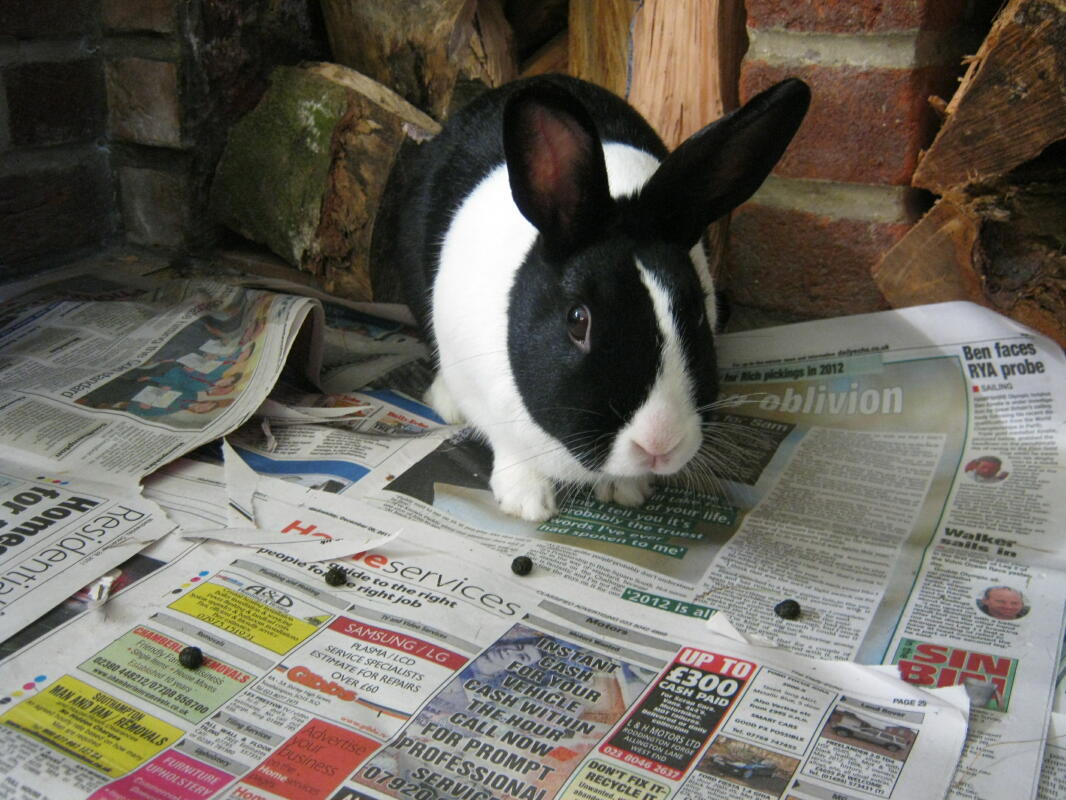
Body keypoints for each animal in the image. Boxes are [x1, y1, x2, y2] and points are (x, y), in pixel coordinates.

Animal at [387, 74, 810, 521]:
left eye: (696, 310)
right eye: (578, 320)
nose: (659, 444)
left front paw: (628, 491)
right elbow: (510, 452)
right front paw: (527, 503)